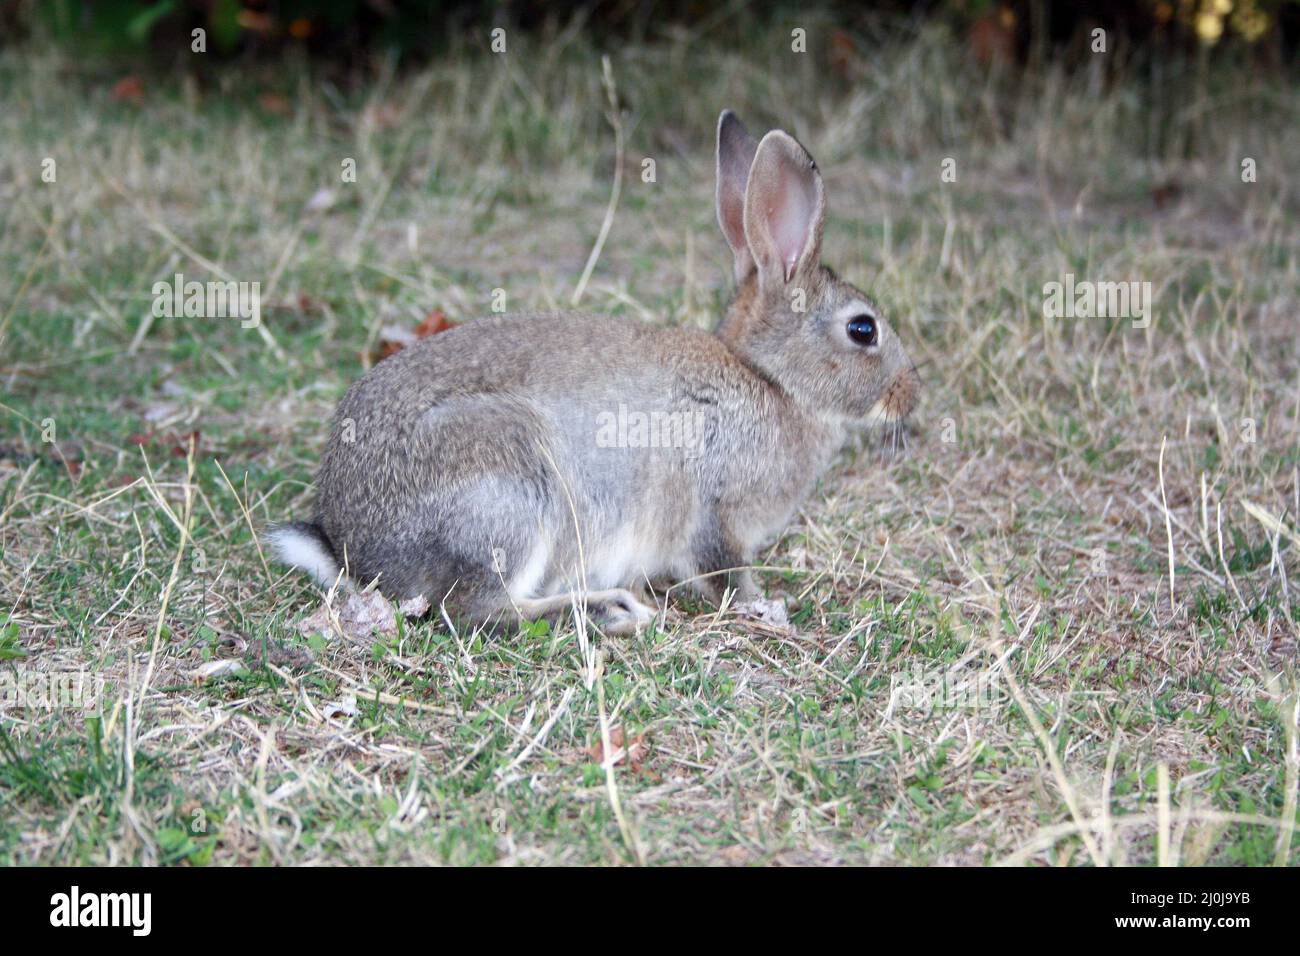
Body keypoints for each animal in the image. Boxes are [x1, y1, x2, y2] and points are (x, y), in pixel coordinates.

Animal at [269, 110, 921, 634]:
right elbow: (727, 575)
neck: (769, 379)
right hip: (513, 491)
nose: (910, 393)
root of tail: (352, 545)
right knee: (473, 610)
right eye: (863, 330)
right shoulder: (716, 513)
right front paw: (768, 608)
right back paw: (607, 609)